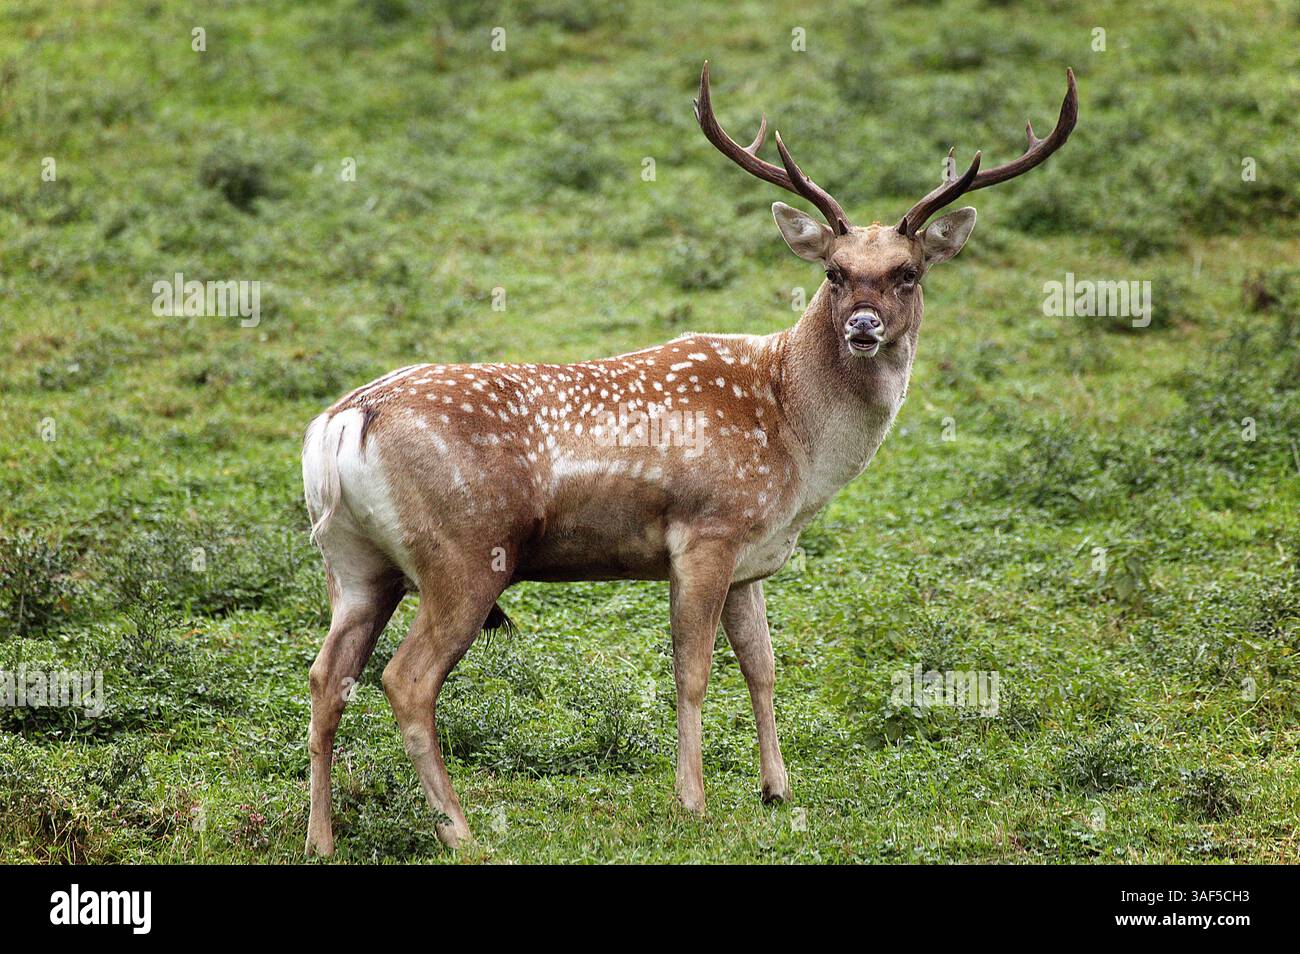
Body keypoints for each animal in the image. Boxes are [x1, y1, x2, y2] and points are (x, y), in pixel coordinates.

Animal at [300, 62, 1078, 855]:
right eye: (833, 272)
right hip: (466, 551)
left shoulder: (751, 557)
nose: (863, 326)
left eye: (909, 273)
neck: (796, 439)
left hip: (357, 566)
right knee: (406, 680)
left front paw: (777, 789)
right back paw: (459, 831)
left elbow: (763, 666)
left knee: (326, 677)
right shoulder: (708, 530)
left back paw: (320, 839)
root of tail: (342, 424)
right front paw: (692, 800)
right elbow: (694, 671)